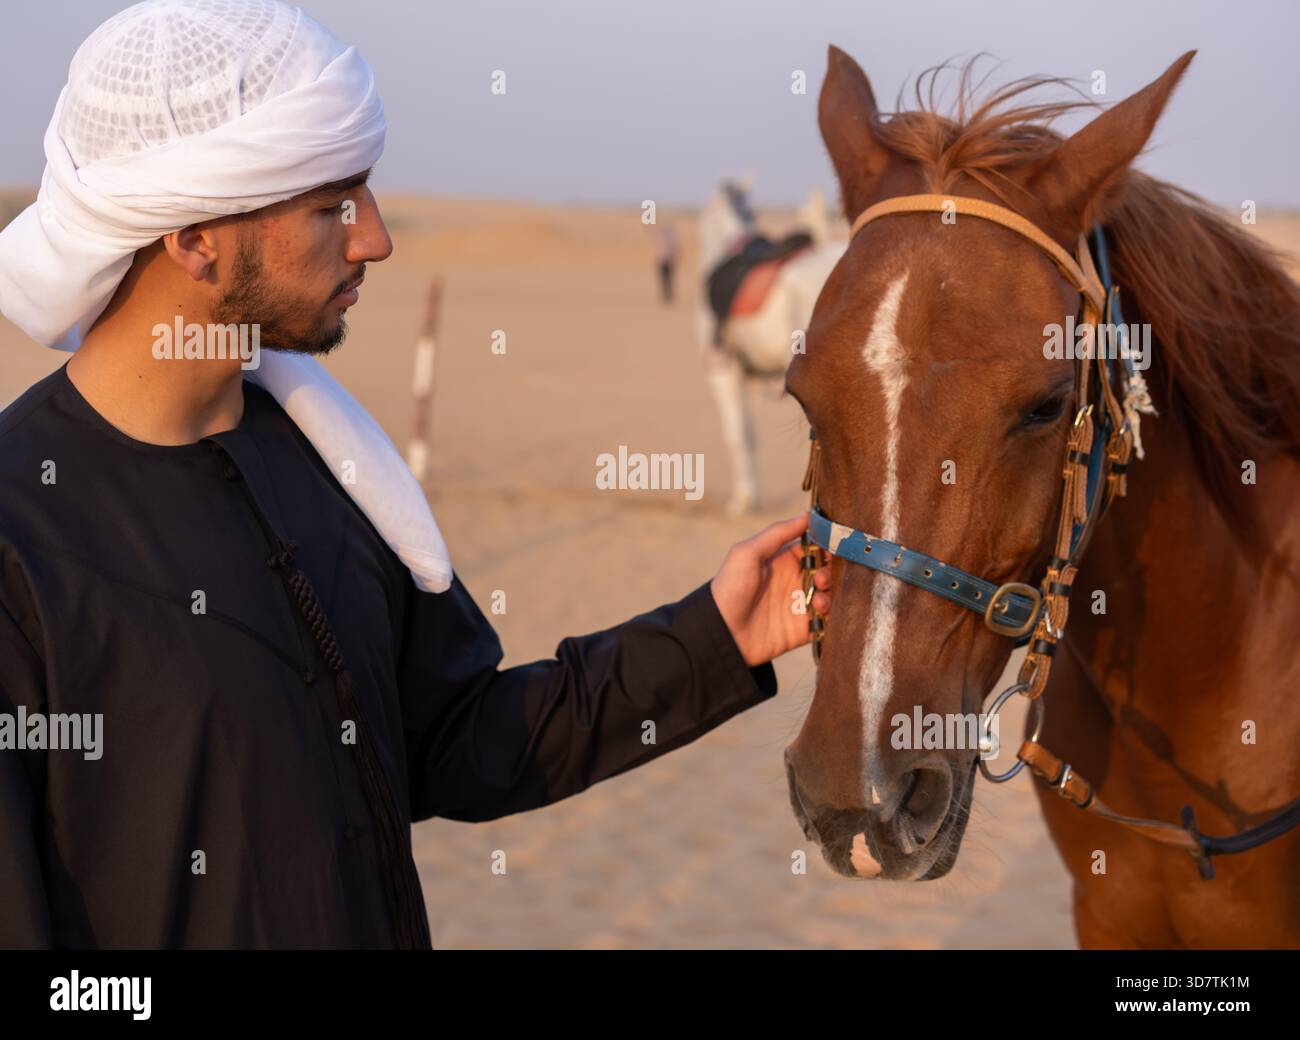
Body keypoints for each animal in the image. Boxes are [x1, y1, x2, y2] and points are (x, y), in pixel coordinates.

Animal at [695, 180, 844, 515]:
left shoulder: (723, 369)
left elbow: (736, 433)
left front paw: (740, 500)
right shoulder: (749, 372)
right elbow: (750, 434)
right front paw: (751, 497)